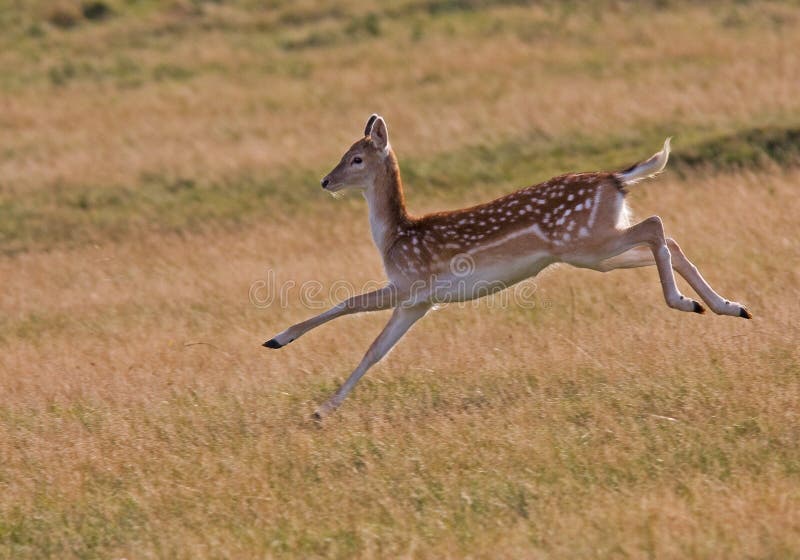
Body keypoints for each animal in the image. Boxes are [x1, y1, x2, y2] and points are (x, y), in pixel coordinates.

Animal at [264, 114, 751, 420]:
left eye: (357, 158)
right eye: (345, 151)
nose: (325, 180)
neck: (395, 237)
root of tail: (615, 179)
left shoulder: (410, 285)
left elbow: (347, 303)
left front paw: (277, 339)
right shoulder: (418, 303)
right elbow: (374, 352)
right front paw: (323, 410)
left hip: (585, 239)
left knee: (656, 225)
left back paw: (686, 302)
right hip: (592, 252)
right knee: (666, 238)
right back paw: (727, 306)